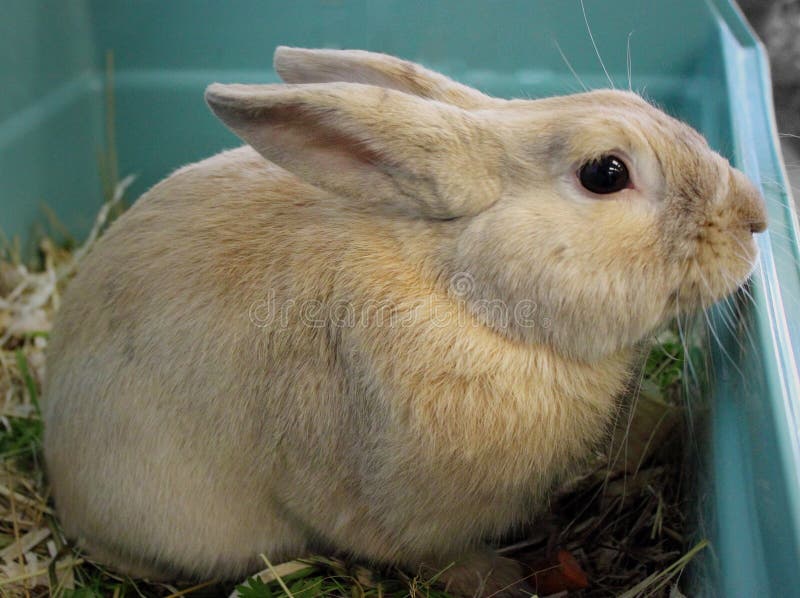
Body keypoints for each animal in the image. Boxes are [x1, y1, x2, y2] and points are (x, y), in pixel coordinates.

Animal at [42, 46, 767, 596]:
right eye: (606, 172)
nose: (754, 218)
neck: (469, 297)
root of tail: (58, 474)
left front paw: (674, 427)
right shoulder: (393, 510)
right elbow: (433, 553)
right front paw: (502, 580)